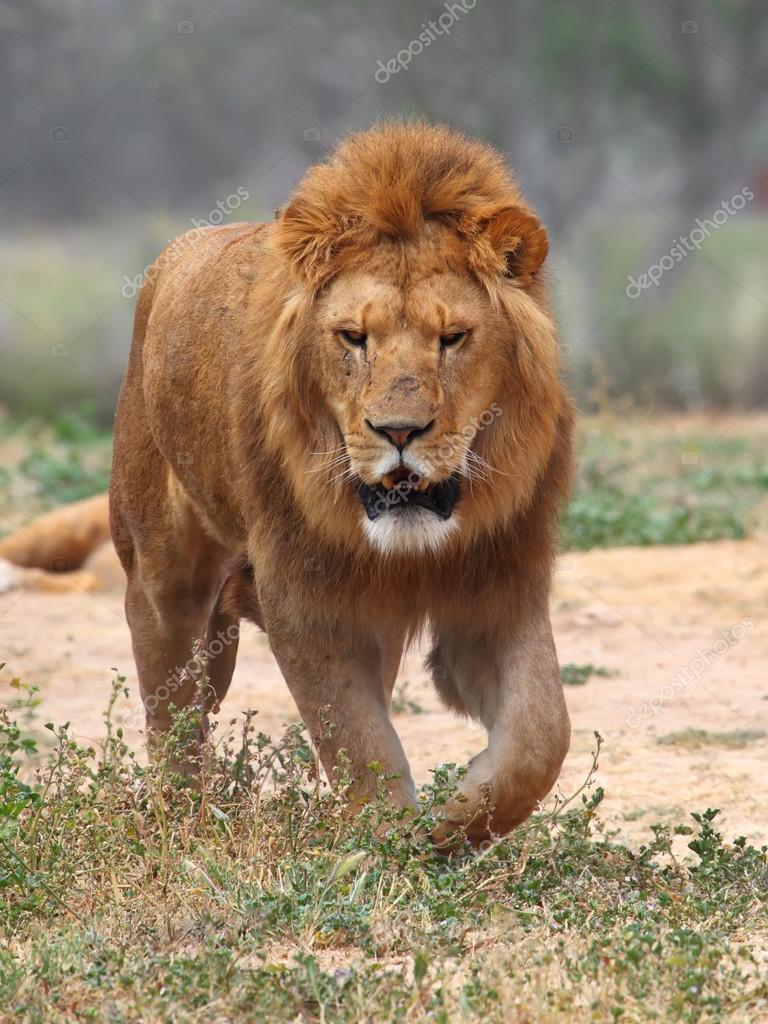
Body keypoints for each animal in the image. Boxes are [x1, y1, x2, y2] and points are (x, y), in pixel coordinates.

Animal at [108, 121, 574, 844]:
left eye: (453, 337)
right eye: (354, 337)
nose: (400, 431)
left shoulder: (500, 585)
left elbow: (541, 735)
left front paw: (455, 820)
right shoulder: (305, 598)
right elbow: (357, 743)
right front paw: (395, 843)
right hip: (163, 572)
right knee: (173, 712)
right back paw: (181, 823)